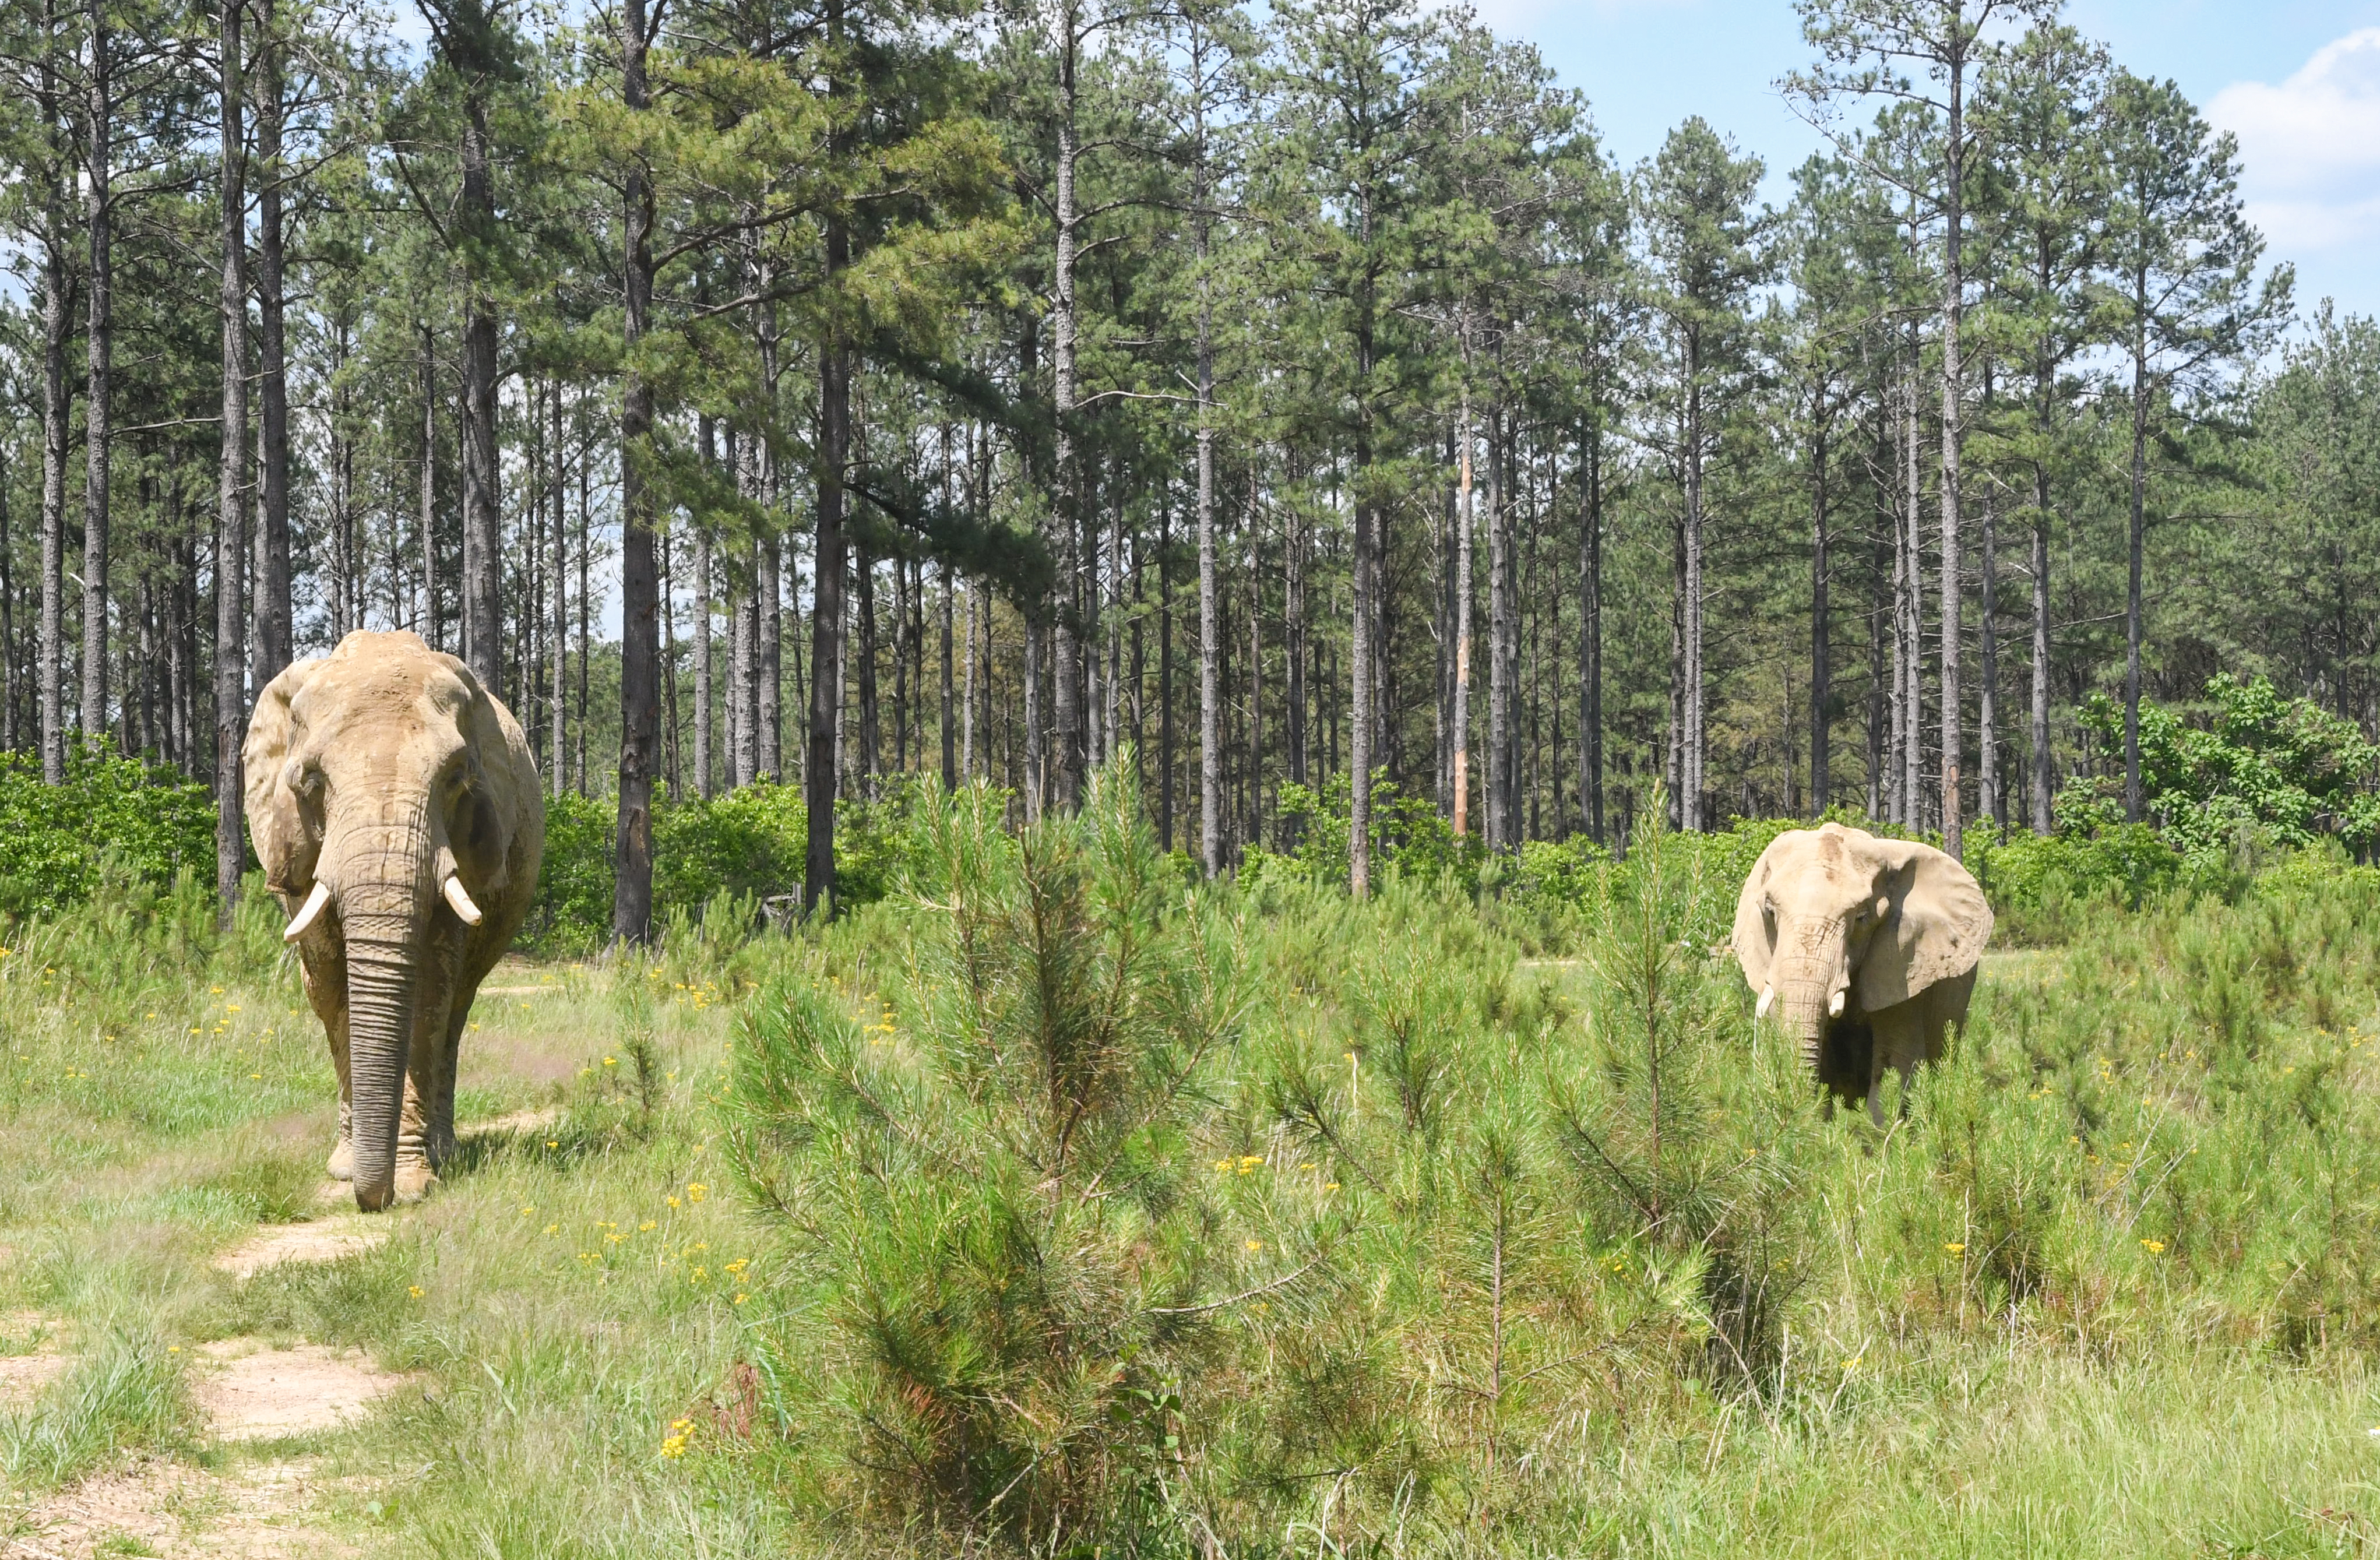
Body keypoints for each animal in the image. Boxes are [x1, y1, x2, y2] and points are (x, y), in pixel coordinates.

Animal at [243, 631, 544, 1210]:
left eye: (456, 778)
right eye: (311, 780)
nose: (372, 1200)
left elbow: (428, 993)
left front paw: (410, 1181)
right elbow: (331, 987)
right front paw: (346, 1168)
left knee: (457, 1006)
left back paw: (443, 1151)